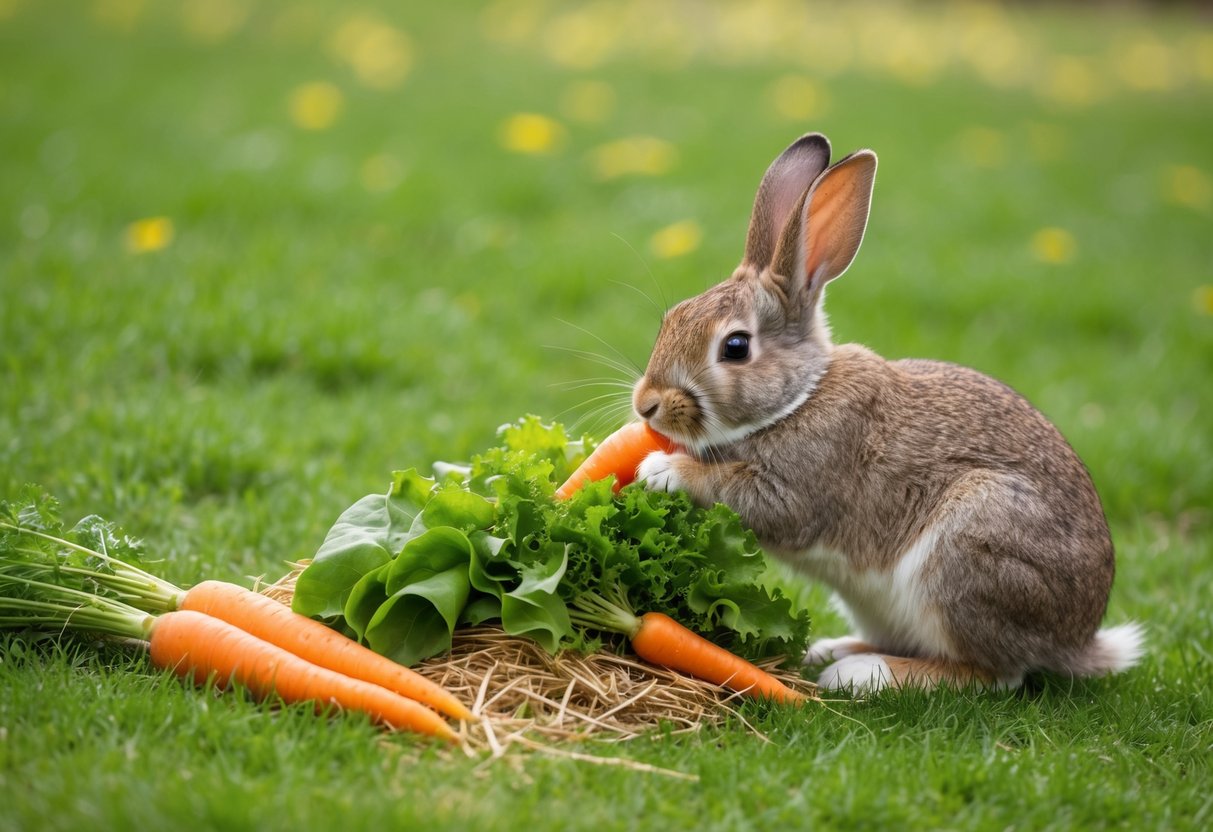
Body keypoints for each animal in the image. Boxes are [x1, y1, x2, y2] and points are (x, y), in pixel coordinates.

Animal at [633, 133, 1143, 692]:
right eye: (671, 317)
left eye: (736, 346)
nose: (646, 405)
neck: (800, 397)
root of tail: (1073, 641)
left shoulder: (801, 486)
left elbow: (743, 493)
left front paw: (661, 470)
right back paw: (834, 650)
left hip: (971, 549)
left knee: (993, 674)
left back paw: (859, 673)